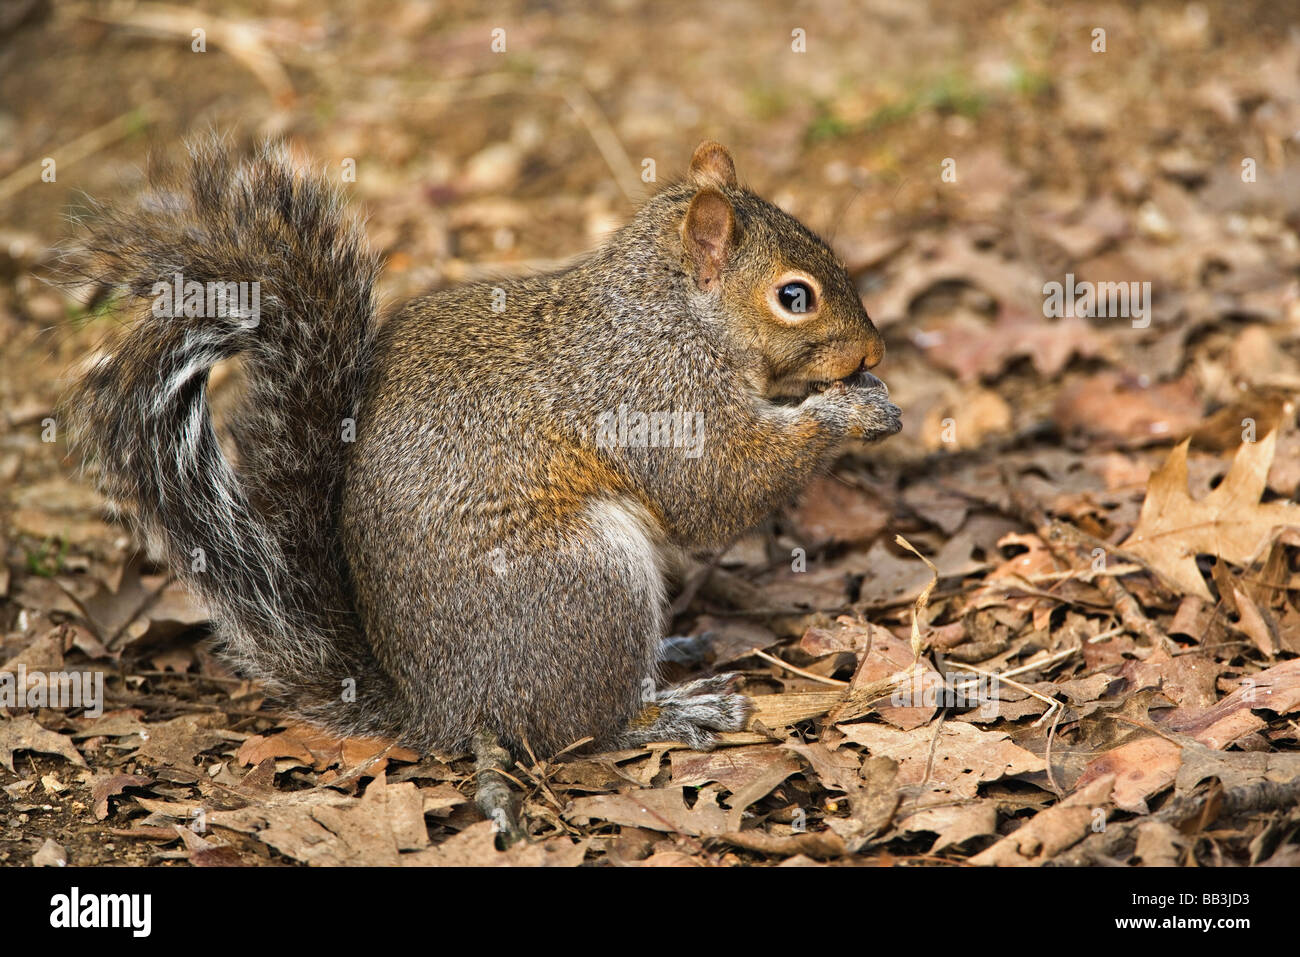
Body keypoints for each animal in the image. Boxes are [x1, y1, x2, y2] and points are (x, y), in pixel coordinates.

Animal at [68, 136, 900, 826]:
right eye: (794, 297)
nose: (874, 352)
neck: (674, 315)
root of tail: (440, 708)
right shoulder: (655, 396)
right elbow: (717, 488)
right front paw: (846, 411)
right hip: (586, 583)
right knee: (573, 730)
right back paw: (666, 714)